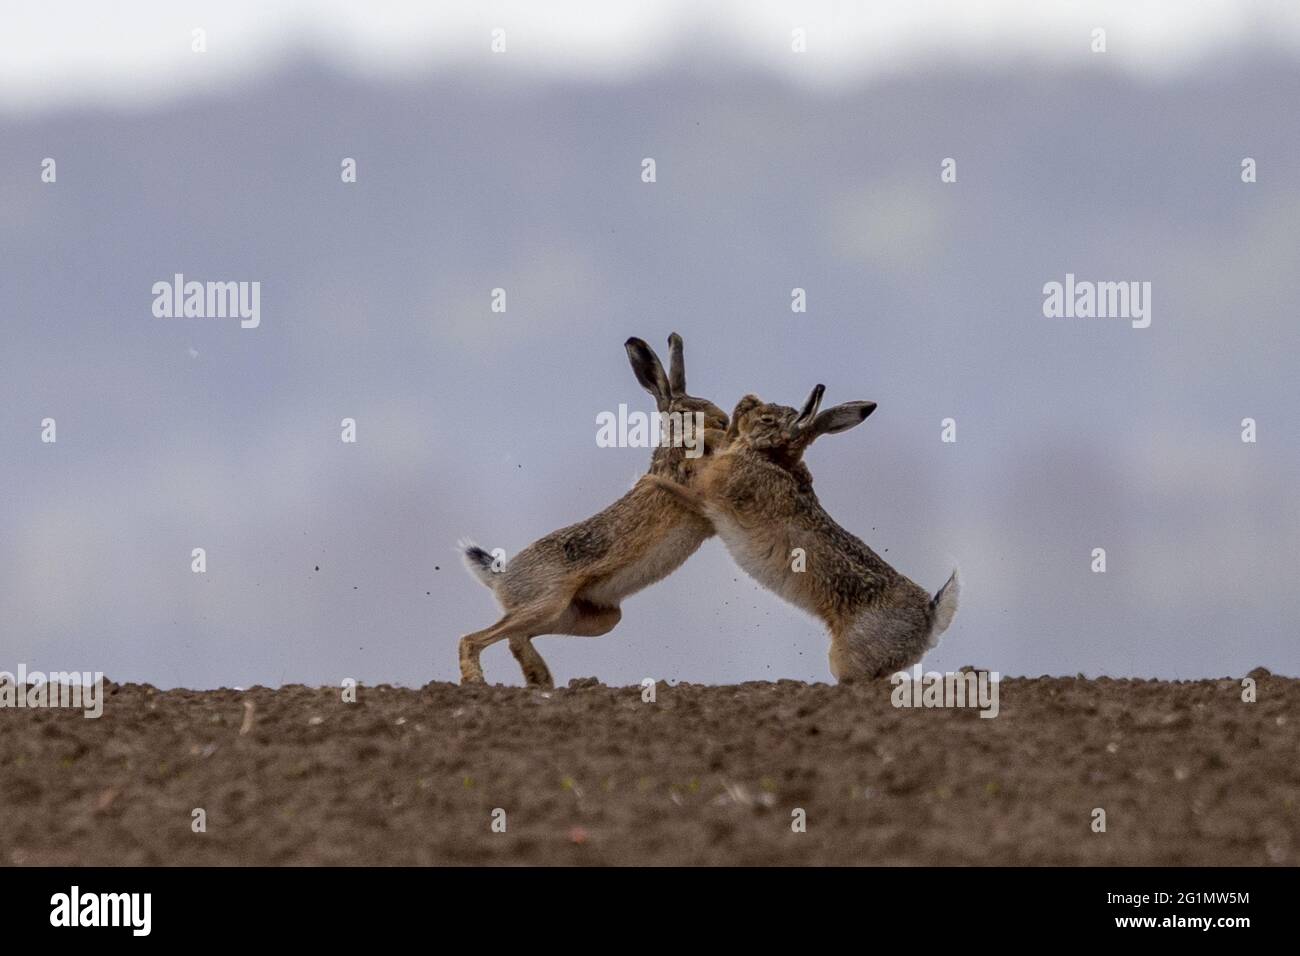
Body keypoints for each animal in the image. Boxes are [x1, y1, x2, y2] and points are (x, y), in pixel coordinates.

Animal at [457, 333, 743, 687]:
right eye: (683, 412)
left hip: (590, 617)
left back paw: (540, 679)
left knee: (515, 636)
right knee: (475, 638)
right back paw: (477, 681)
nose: (723, 420)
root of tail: (499, 575)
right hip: (547, 601)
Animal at [644, 385, 959, 682]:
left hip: (847, 658)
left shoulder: (710, 495)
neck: (766, 457)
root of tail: (929, 620)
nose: (745, 405)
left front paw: (652, 480)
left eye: (767, 419)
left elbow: (683, 490)